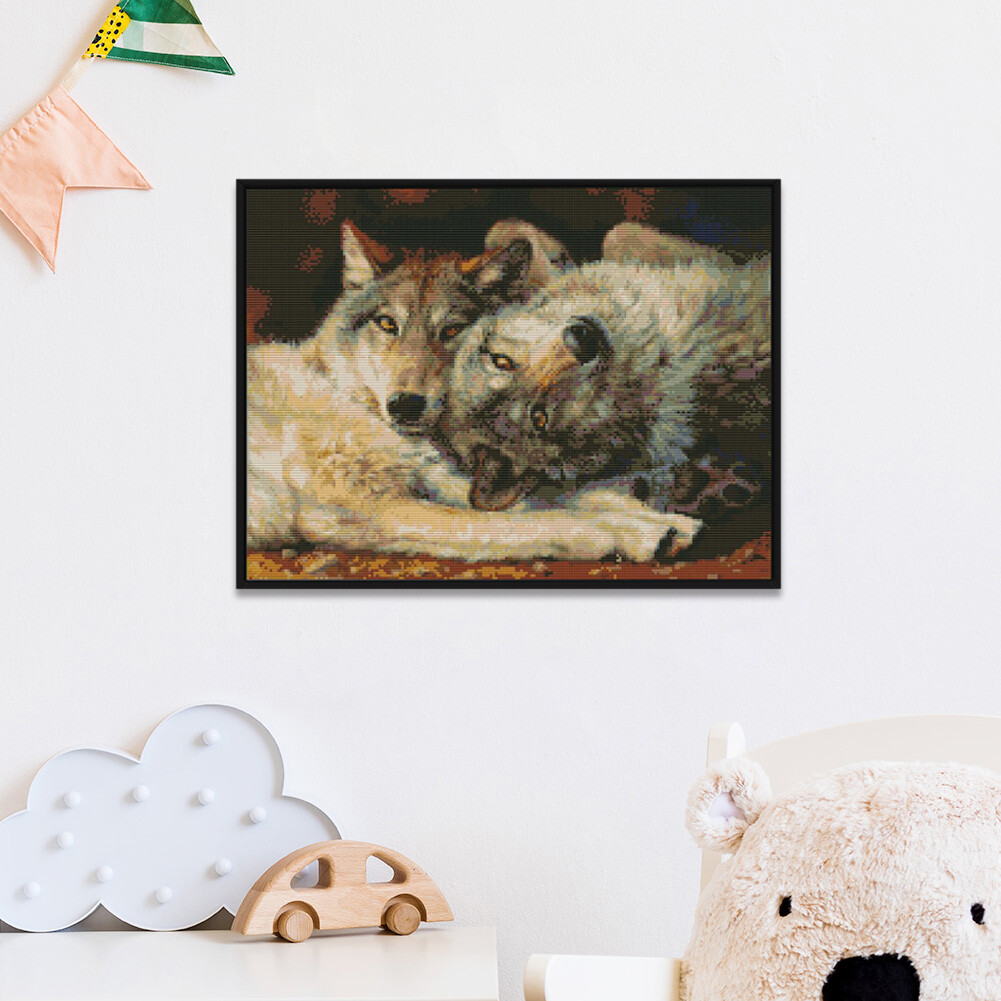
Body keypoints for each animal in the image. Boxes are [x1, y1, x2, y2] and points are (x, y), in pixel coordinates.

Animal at [246, 222, 703, 563]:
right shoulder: (363, 507)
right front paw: (628, 532)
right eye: (387, 324)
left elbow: (558, 496)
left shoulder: (437, 479)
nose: (405, 405)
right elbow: (526, 520)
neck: (347, 394)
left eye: (451, 330)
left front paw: (656, 518)